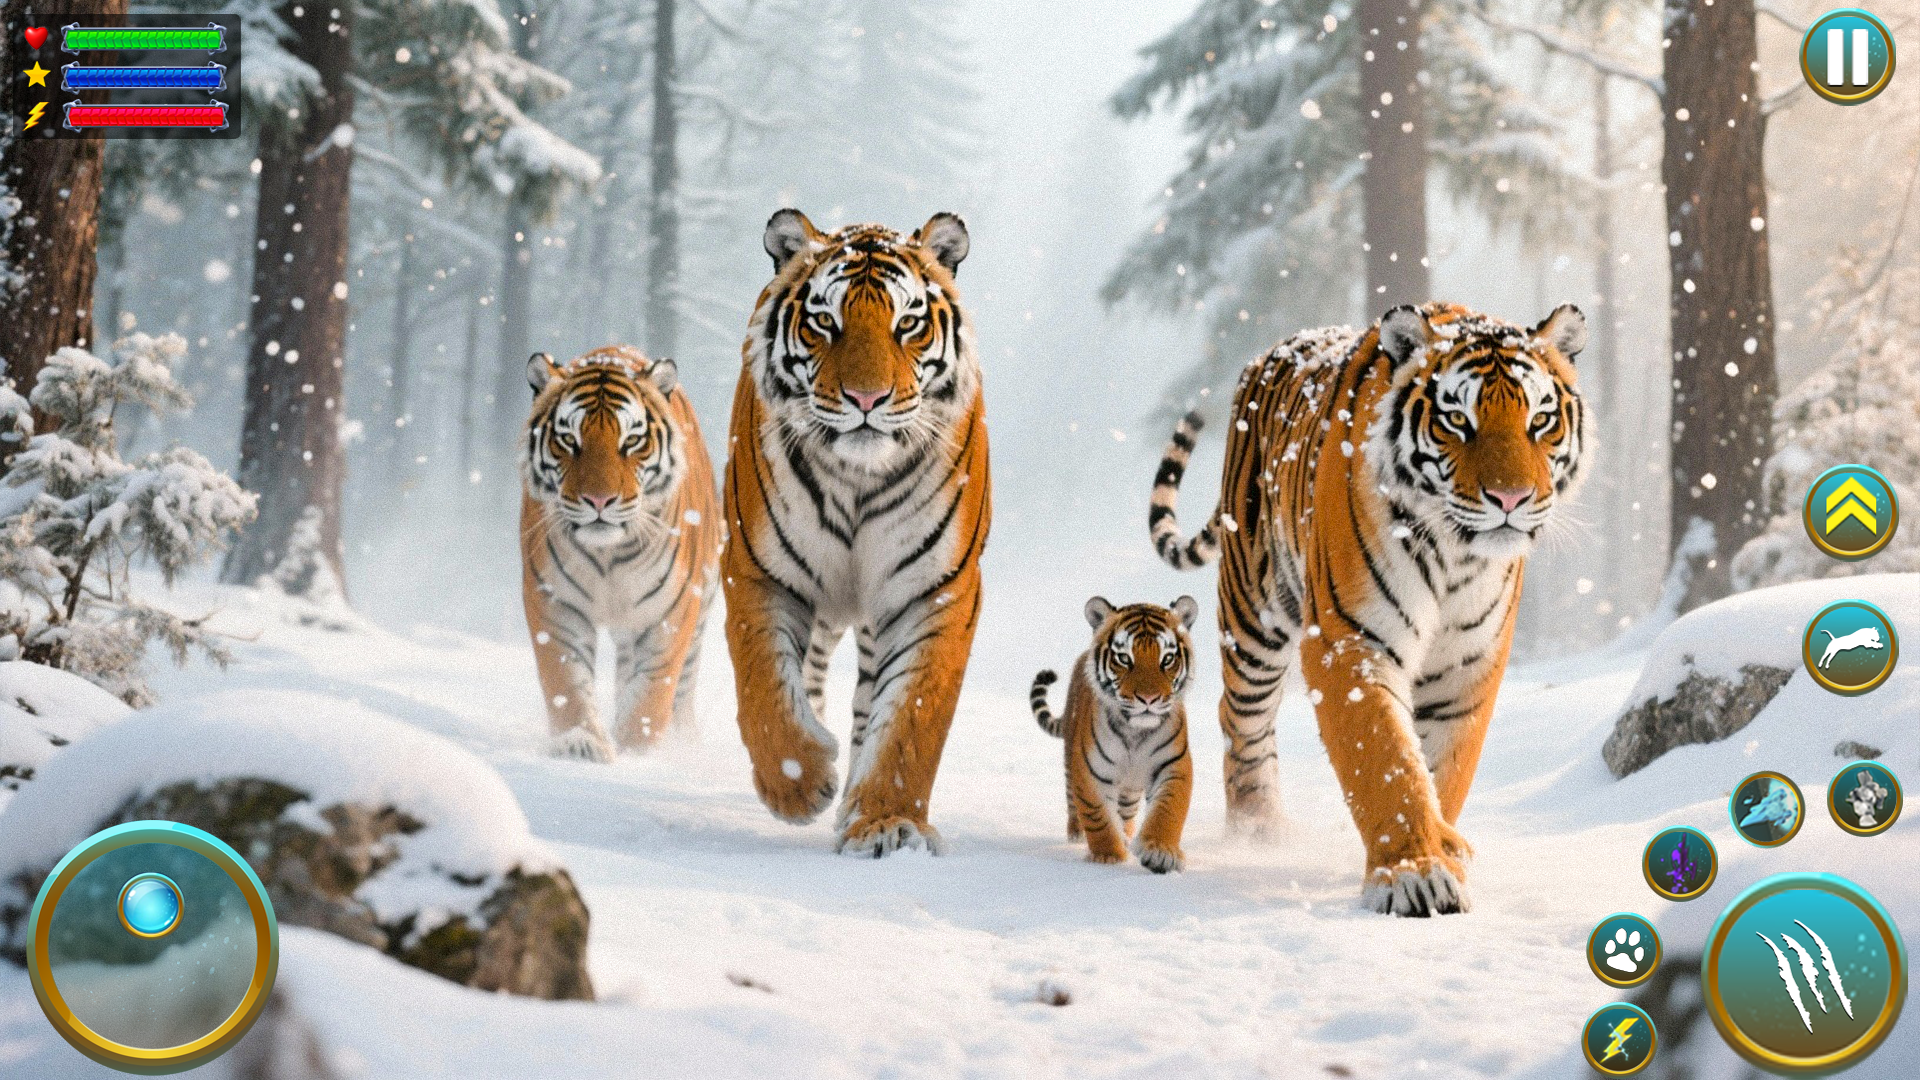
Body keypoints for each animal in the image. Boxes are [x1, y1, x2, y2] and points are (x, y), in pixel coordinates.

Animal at [521, 345, 721, 762]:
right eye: (569, 439)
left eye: (631, 441)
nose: (599, 501)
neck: (608, 555)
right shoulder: (554, 602)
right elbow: (565, 681)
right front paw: (580, 743)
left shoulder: (670, 611)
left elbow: (652, 694)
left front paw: (636, 752)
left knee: (681, 687)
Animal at [722, 209, 990, 857]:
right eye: (826, 320)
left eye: (908, 323)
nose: (866, 398)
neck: (857, 478)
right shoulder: (758, 571)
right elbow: (764, 688)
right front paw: (799, 782)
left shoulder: (936, 590)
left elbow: (912, 718)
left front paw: (887, 824)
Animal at [1029, 596, 1198, 874]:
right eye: (1124, 658)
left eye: (1167, 659)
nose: (1149, 699)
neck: (1135, 733)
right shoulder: (1090, 772)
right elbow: (1097, 818)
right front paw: (1109, 857)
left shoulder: (1173, 764)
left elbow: (1168, 810)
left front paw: (1160, 852)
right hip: (1070, 763)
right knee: (1073, 805)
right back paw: (1077, 835)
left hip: (1129, 791)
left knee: (1126, 812)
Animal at [1149, 302, 1591, 915]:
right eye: (1459, 421)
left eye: (1541, 420)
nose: (1512, 499)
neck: (1457, 557)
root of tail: (1265, 356)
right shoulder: (1351, 641)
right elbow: (1387, 761)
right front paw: (1415, 874)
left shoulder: (1468, 664)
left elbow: (1442, 766)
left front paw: (1443, 844)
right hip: (1253, 616)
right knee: (1241, 720)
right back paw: (1259, 833)